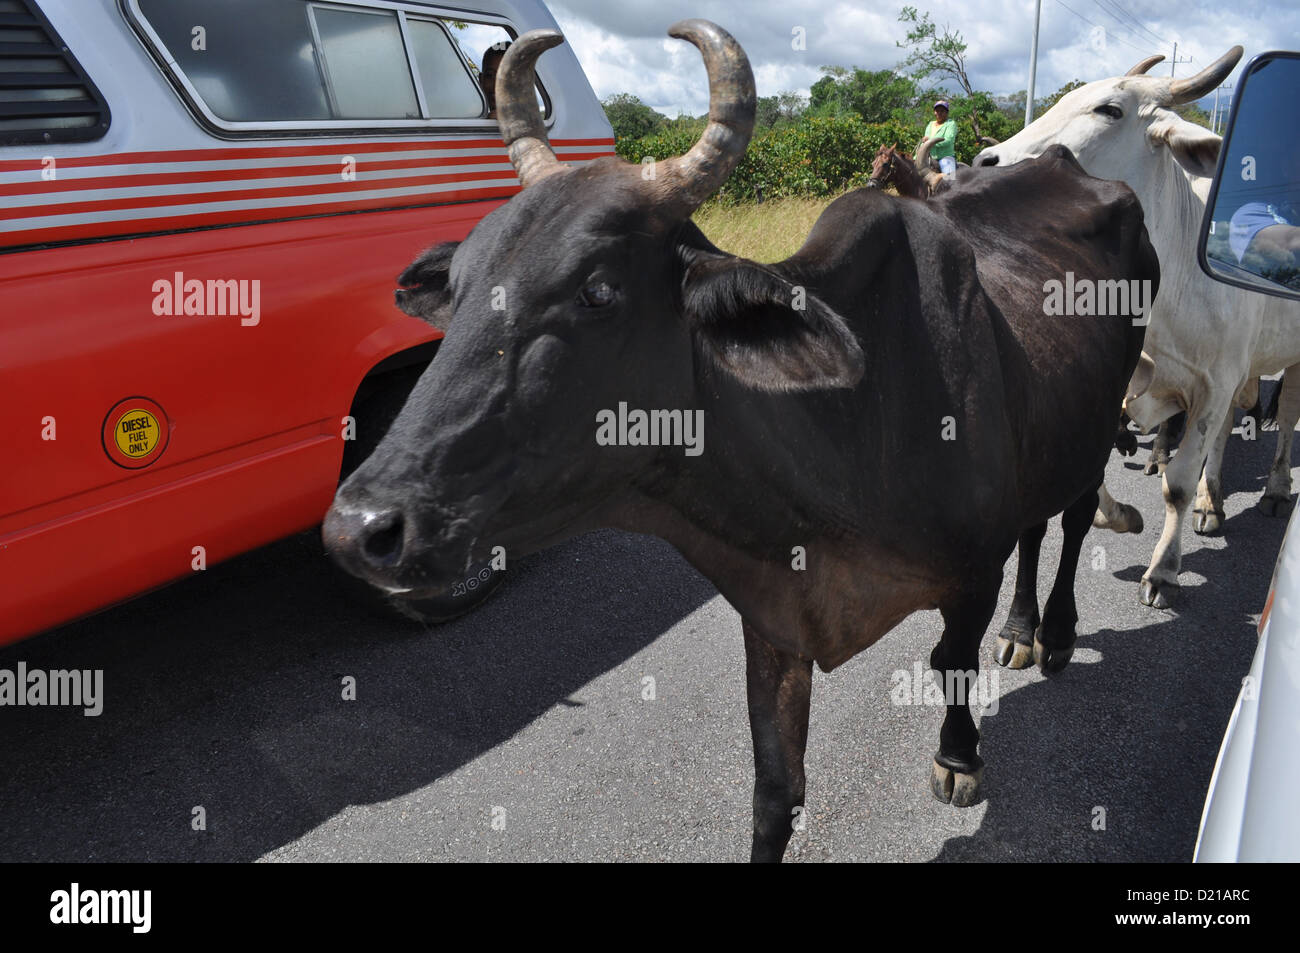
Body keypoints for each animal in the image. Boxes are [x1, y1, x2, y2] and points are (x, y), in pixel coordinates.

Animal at [323, 21, 1159, 861]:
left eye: (598, 289)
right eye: (461, 286)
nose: (363, 528)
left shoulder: (971, 571)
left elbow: (950, 661)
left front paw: (958, 757)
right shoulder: (773, 620)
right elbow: (774, 793)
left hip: (1102, 412)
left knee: (1073, 517)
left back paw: (1054, 632)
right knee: (1040, 519)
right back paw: (1021, 630)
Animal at [975, 50, 1300, 610]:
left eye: (1110, 110)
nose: (986, 162)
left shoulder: (1213, 383)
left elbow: (1177, 481)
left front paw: (1163, 571)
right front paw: (1119, 515)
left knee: (1287, 419)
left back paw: (1275, 490)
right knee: (1224, 437)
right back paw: (1211, 505)